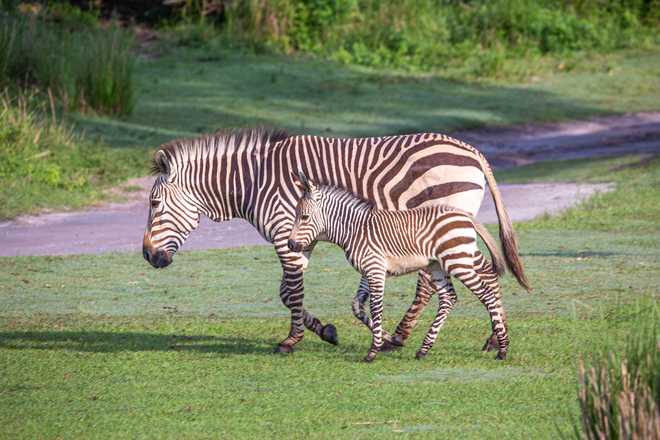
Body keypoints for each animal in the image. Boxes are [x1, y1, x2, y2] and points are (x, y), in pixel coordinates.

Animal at [287, 172, 526, 362]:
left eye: (304, 217)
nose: (291, 245)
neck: (355, 230)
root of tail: (463, 214)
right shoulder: (369, 270)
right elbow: (357, 306)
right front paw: (388, 338)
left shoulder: (375, 269)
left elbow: (376, 307)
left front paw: (373, 351)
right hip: (440, 264)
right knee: (450, 297)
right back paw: (424, 349)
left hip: (458, 261)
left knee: (486, 293)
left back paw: (502, 349)